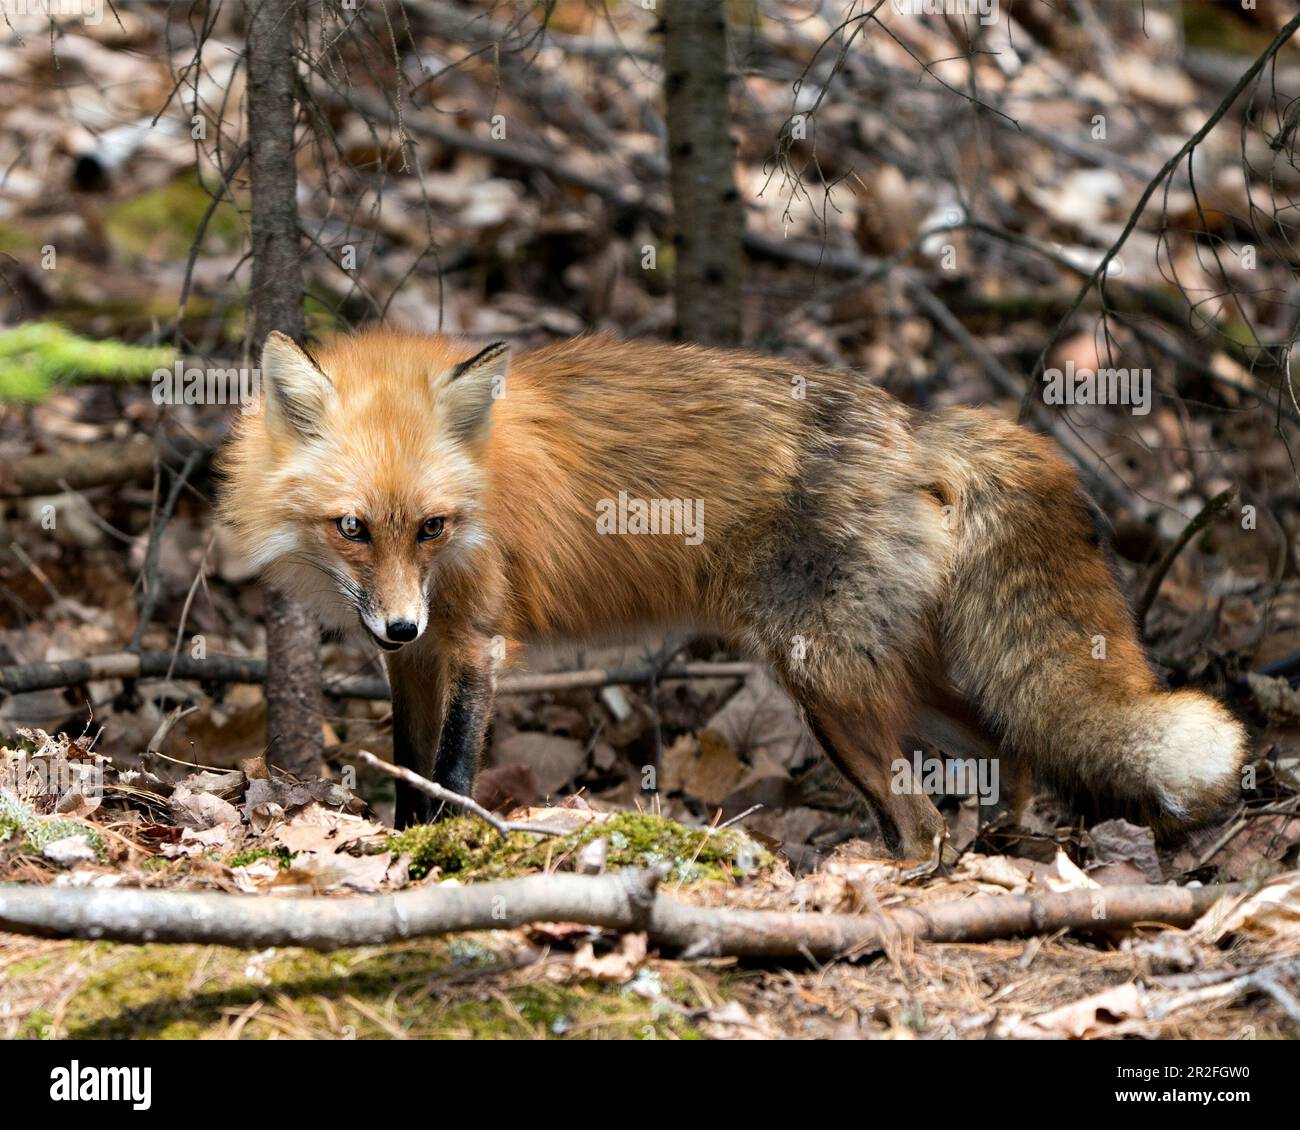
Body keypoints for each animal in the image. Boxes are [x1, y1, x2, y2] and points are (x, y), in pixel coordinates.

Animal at [217, 328, 1247, 859]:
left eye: (431, 527)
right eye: (352, 527)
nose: (396, 622)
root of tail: (914, 426)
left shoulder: (474, 639)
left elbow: (455, 767)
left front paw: (449, 854)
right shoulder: (418, 659)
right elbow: (408, 767)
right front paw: (402, 845)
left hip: (825, 684)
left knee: (921, 819)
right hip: (887, 688)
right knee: (1012, 747)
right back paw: (995, 843)